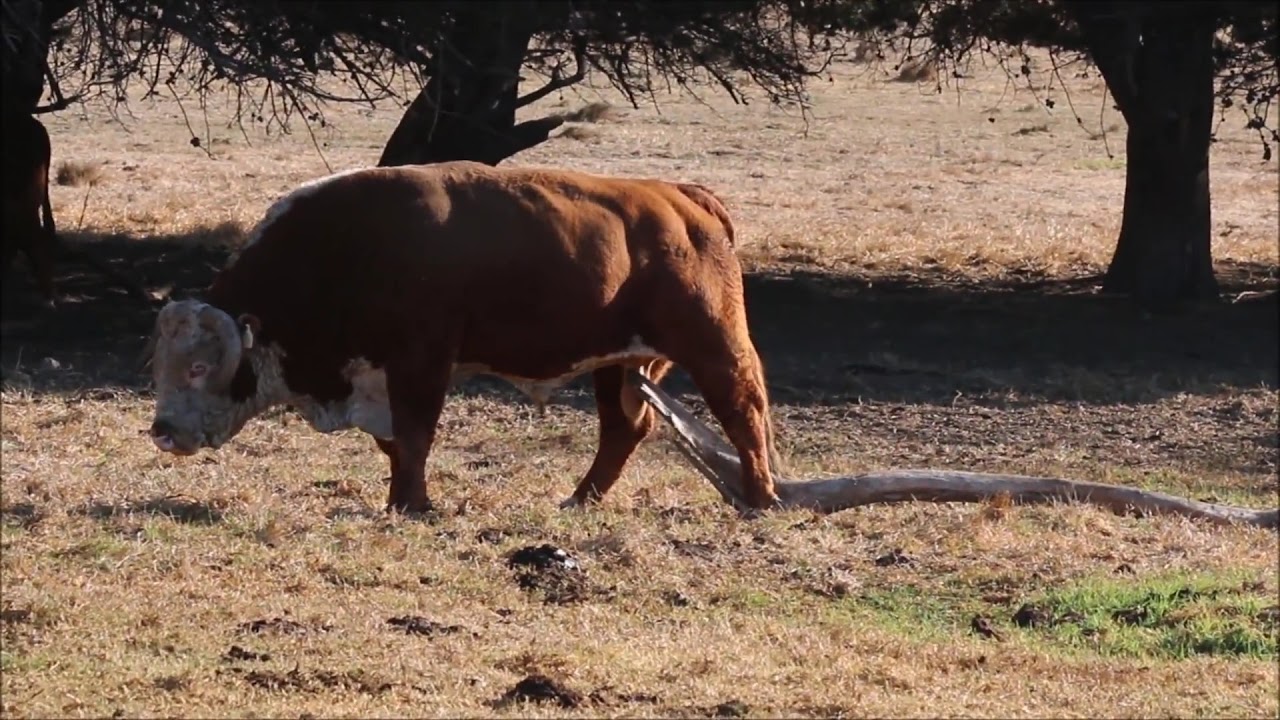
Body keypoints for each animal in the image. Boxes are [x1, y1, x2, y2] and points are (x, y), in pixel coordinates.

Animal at [140, 161, 786, 514]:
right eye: (159, 367)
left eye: (198, 367)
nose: (163, 431)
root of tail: (683, 198)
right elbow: (395, 443)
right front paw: (401, 498)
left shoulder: (422, 361)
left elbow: (414, 435)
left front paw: (411, 506)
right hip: (623, 363)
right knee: (624, 429)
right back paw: (581, 500)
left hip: (712, 342)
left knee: (744, 410)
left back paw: (759, 498)